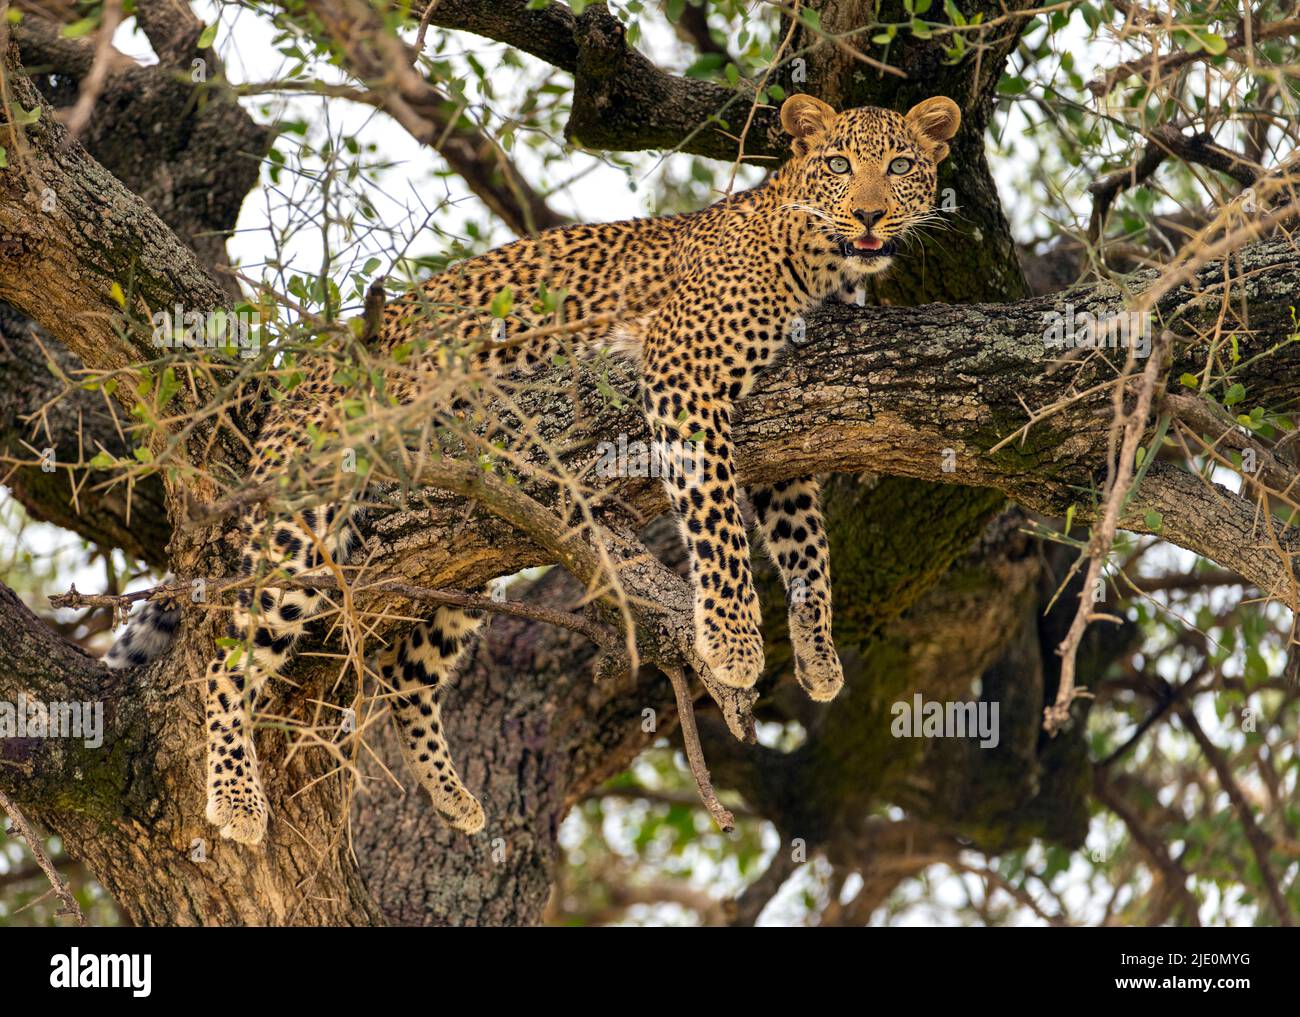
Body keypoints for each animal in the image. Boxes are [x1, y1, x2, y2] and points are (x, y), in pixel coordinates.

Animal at [106, 93, 961, 847]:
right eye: (840, 164)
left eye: (901, 165)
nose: (870, 216)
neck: (816, 263)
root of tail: (310, 365)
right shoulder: (682, 376)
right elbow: (716, 521)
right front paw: (733, 642)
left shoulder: (787, 431)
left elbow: (807, 545)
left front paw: (817, 655)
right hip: (309, 507)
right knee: (230, 653)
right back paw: (235, 796)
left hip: (472, 542)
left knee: (404, 671)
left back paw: (452, 798)